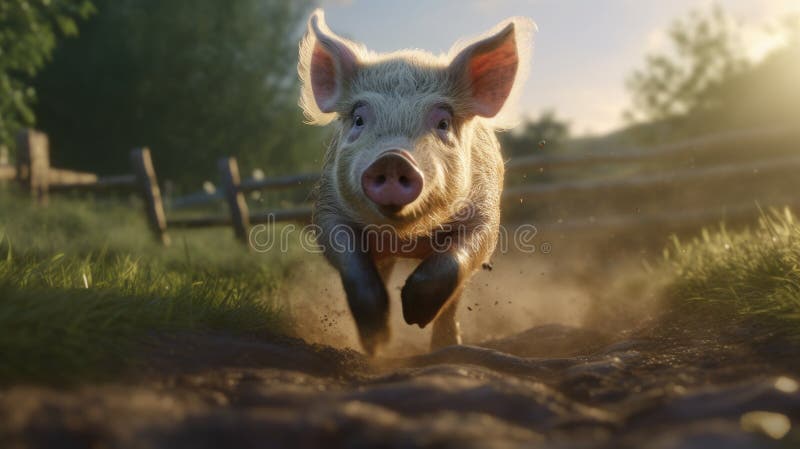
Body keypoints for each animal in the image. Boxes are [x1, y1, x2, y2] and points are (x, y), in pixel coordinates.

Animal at [298, 9, 533, 354]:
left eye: (443, 123)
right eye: (359, 119)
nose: (392, 158)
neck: (406, 237)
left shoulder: (485, 213)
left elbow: (456, 259)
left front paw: (414, 316)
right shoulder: (328, 207)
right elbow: (352, 264)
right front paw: (379, 341)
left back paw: (444, 344)